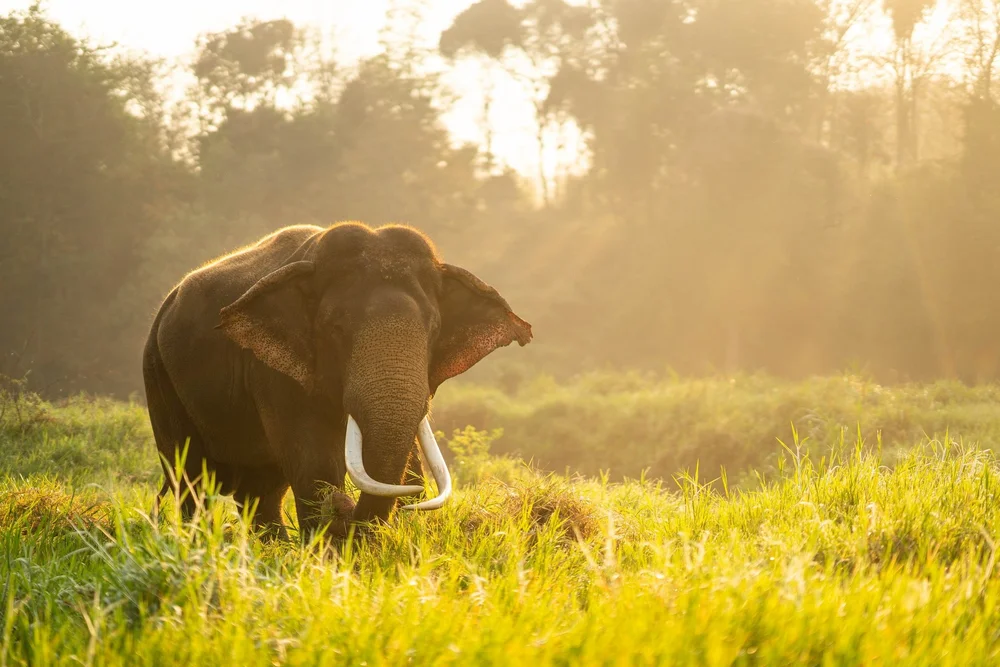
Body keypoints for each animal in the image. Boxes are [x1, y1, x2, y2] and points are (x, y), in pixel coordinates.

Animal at [142, 221, 532, 540]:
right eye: (336, 328)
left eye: (434, 329)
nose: (343, 505)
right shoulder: (272, 371)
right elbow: (312, 455)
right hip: (157, 375)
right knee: (190, 479)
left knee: (260, 491)